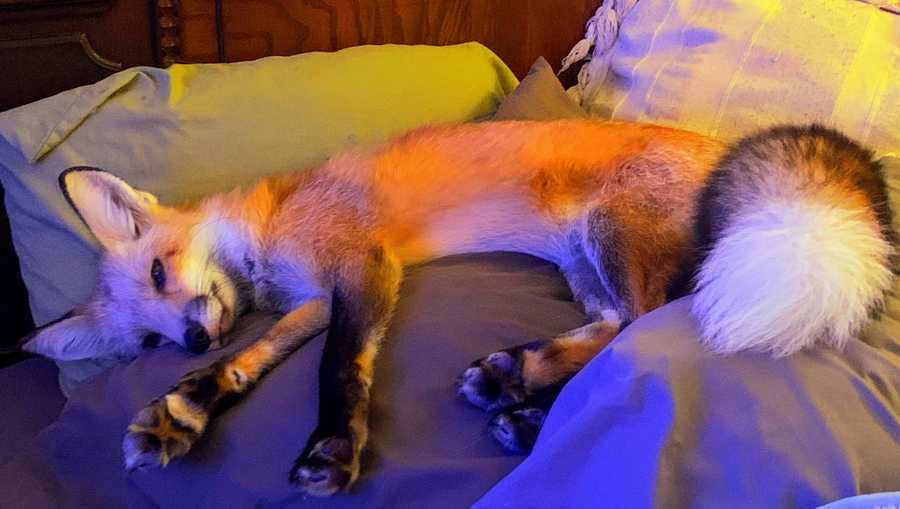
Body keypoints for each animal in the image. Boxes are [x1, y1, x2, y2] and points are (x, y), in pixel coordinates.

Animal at [19, 119, 894, 496]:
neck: (271, 229)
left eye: (161, 269)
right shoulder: (314, 298)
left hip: (616, 240)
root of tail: (720, 144)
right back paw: (518, 375)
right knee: (617, 327)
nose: (194, 331)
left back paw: (532, 414)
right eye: (150, 339)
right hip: (583, 265)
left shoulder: (361, 267)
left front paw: (334, 447)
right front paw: (184, 408)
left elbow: (340, 368)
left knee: (655, 326)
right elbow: (246, 362)